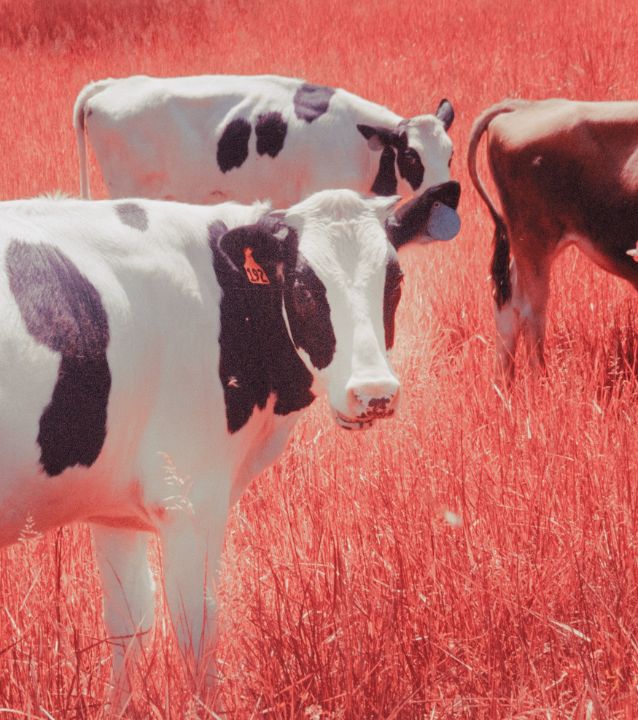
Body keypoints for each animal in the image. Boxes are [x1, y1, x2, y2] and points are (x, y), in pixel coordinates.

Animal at [0, 181, 460, 700]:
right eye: (304, 289)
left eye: (394, 281)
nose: (374, 393)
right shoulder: (189, 502)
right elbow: (198, 641)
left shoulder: (113, 509)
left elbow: (131, 627)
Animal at [468, 98, 638, 378]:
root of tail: (522, 105)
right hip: (535, 242)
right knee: (531, 311)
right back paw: (540, 381)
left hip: (530, 245)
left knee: (508, 303)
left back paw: (504, 383)